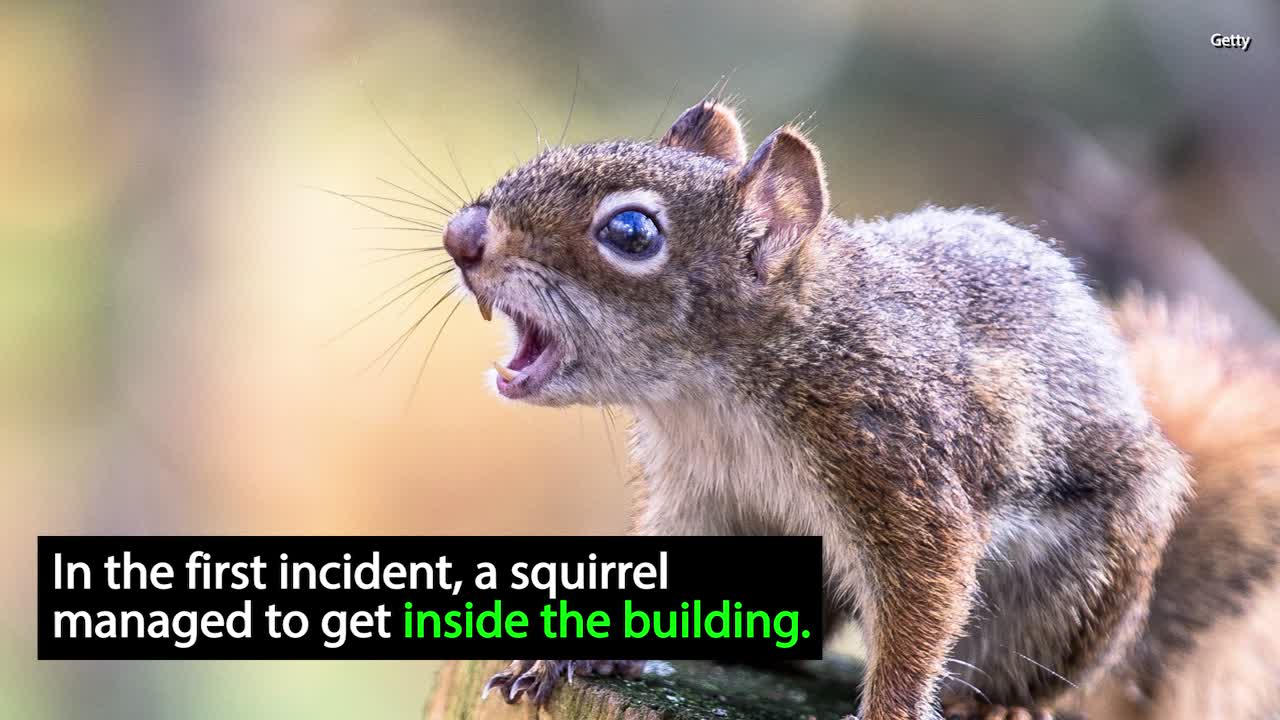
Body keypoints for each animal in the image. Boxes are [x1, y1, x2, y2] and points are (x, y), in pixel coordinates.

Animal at [433, 100, 1280, 720]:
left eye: (631, 232)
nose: (459, 235)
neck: (711, 397)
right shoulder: (697, 495)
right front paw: (576, 650)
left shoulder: (901, 466)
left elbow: (920, 603)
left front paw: (892, 710)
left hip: (1078, 592)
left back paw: (999, 706)